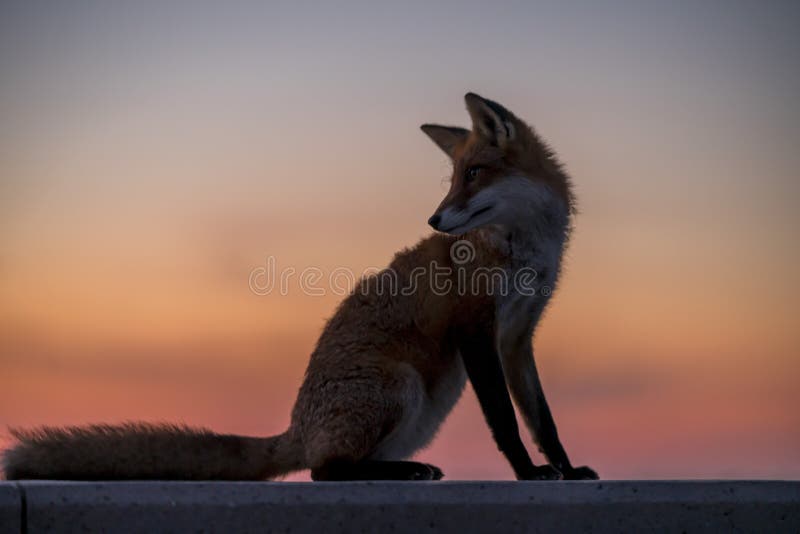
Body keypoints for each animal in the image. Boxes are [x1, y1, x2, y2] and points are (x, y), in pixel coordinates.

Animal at [3, 93, 597, 482]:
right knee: (323, 471)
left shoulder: (516, 338)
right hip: (402, 385)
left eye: (474, 174)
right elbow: (506, 423)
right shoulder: (476, 330)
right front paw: (529, 474)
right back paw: (392, 472)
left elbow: (541, 419)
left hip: (427, 404)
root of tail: (296, 428)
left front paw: (565, 469)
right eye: (453, 178)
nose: (433, 219)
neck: (525, 254)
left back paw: (402, 467)